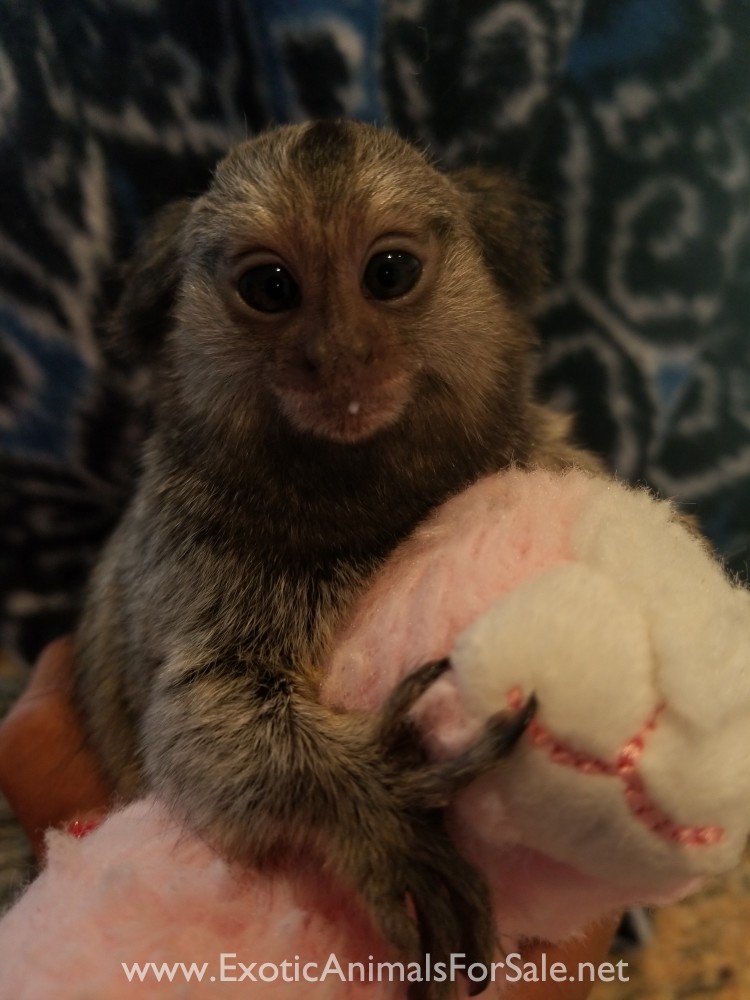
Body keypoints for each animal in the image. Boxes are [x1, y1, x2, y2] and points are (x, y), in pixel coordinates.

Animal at [73, 120, 601, 999]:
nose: (340, 354)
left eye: (388, 274)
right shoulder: (184, 557)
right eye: (271, 288)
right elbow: (195, 721)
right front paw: (380, 803)